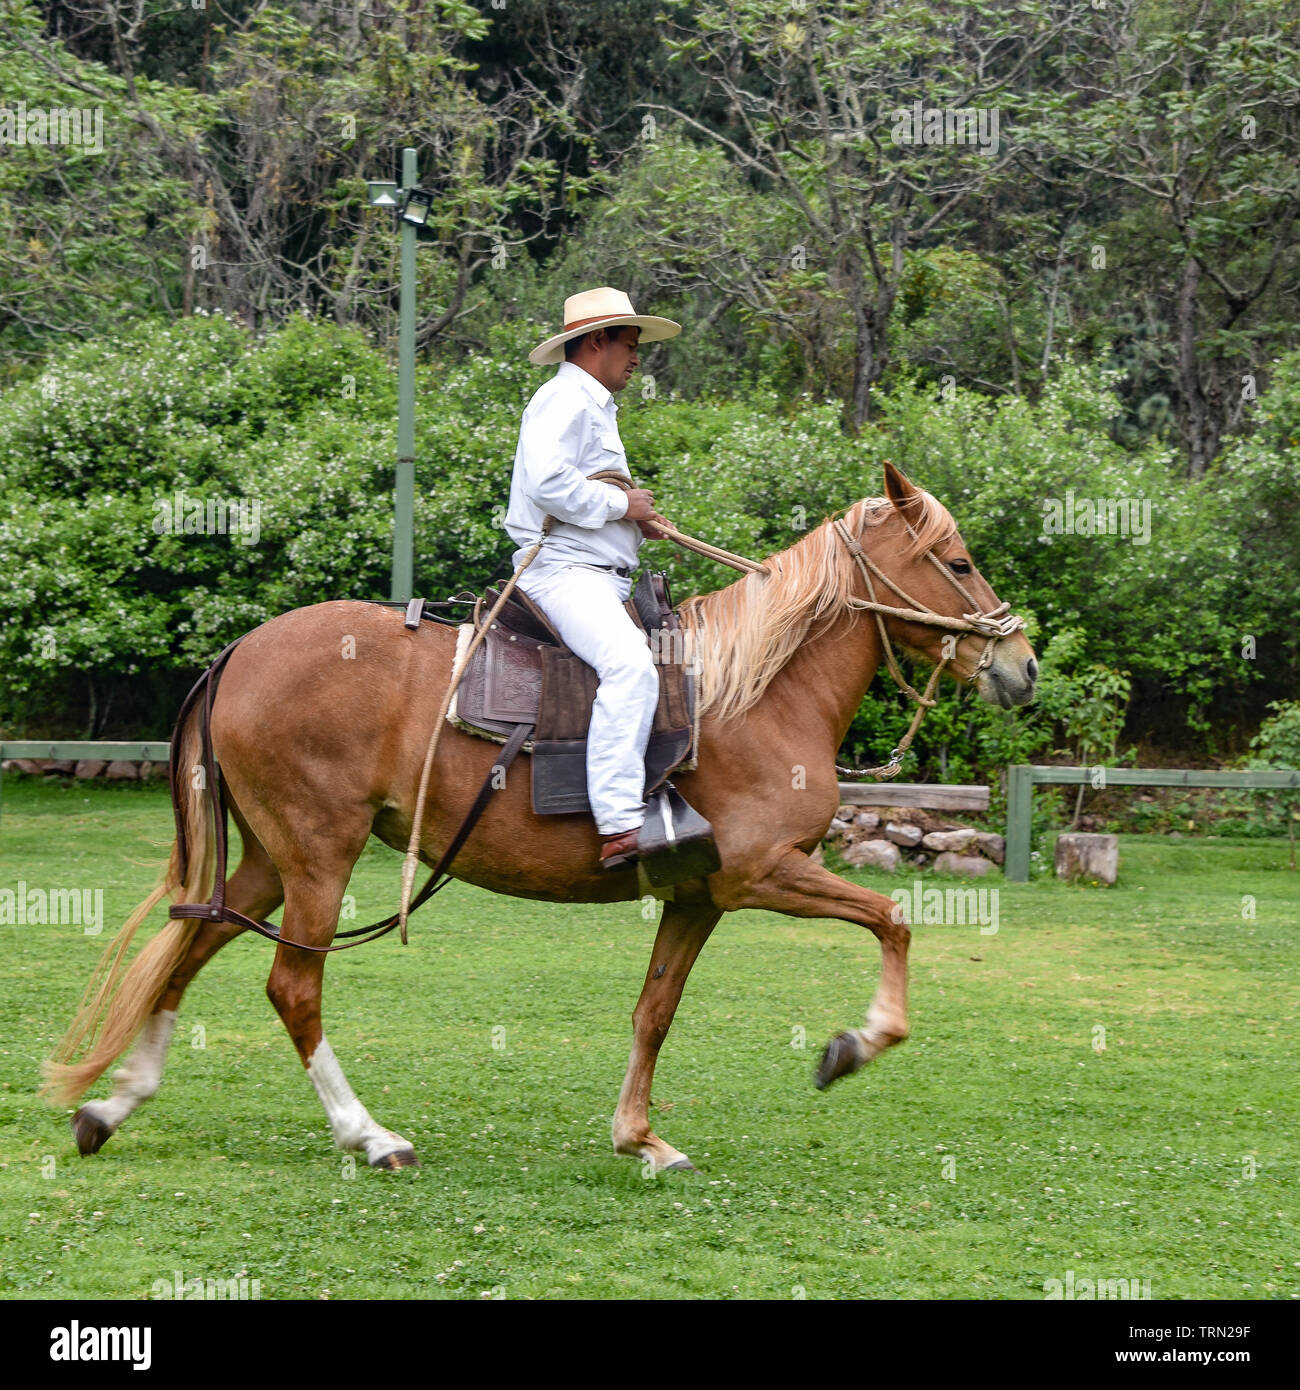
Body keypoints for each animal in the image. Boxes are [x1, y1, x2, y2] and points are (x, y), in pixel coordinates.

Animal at [44, 462, 1037, 1173]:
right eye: (957, 562)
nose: (1020, 664)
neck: (758, 691)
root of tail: (238, 652)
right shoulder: (764, 872)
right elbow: (893, 919)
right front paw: (853, 1046)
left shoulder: (698, 896)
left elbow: (654, 1010)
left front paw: (641, 1138)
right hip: (319, 858)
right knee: (292, 987)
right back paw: (371, 1135)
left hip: (269, 861)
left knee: (188, 949)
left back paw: (111, 1105)